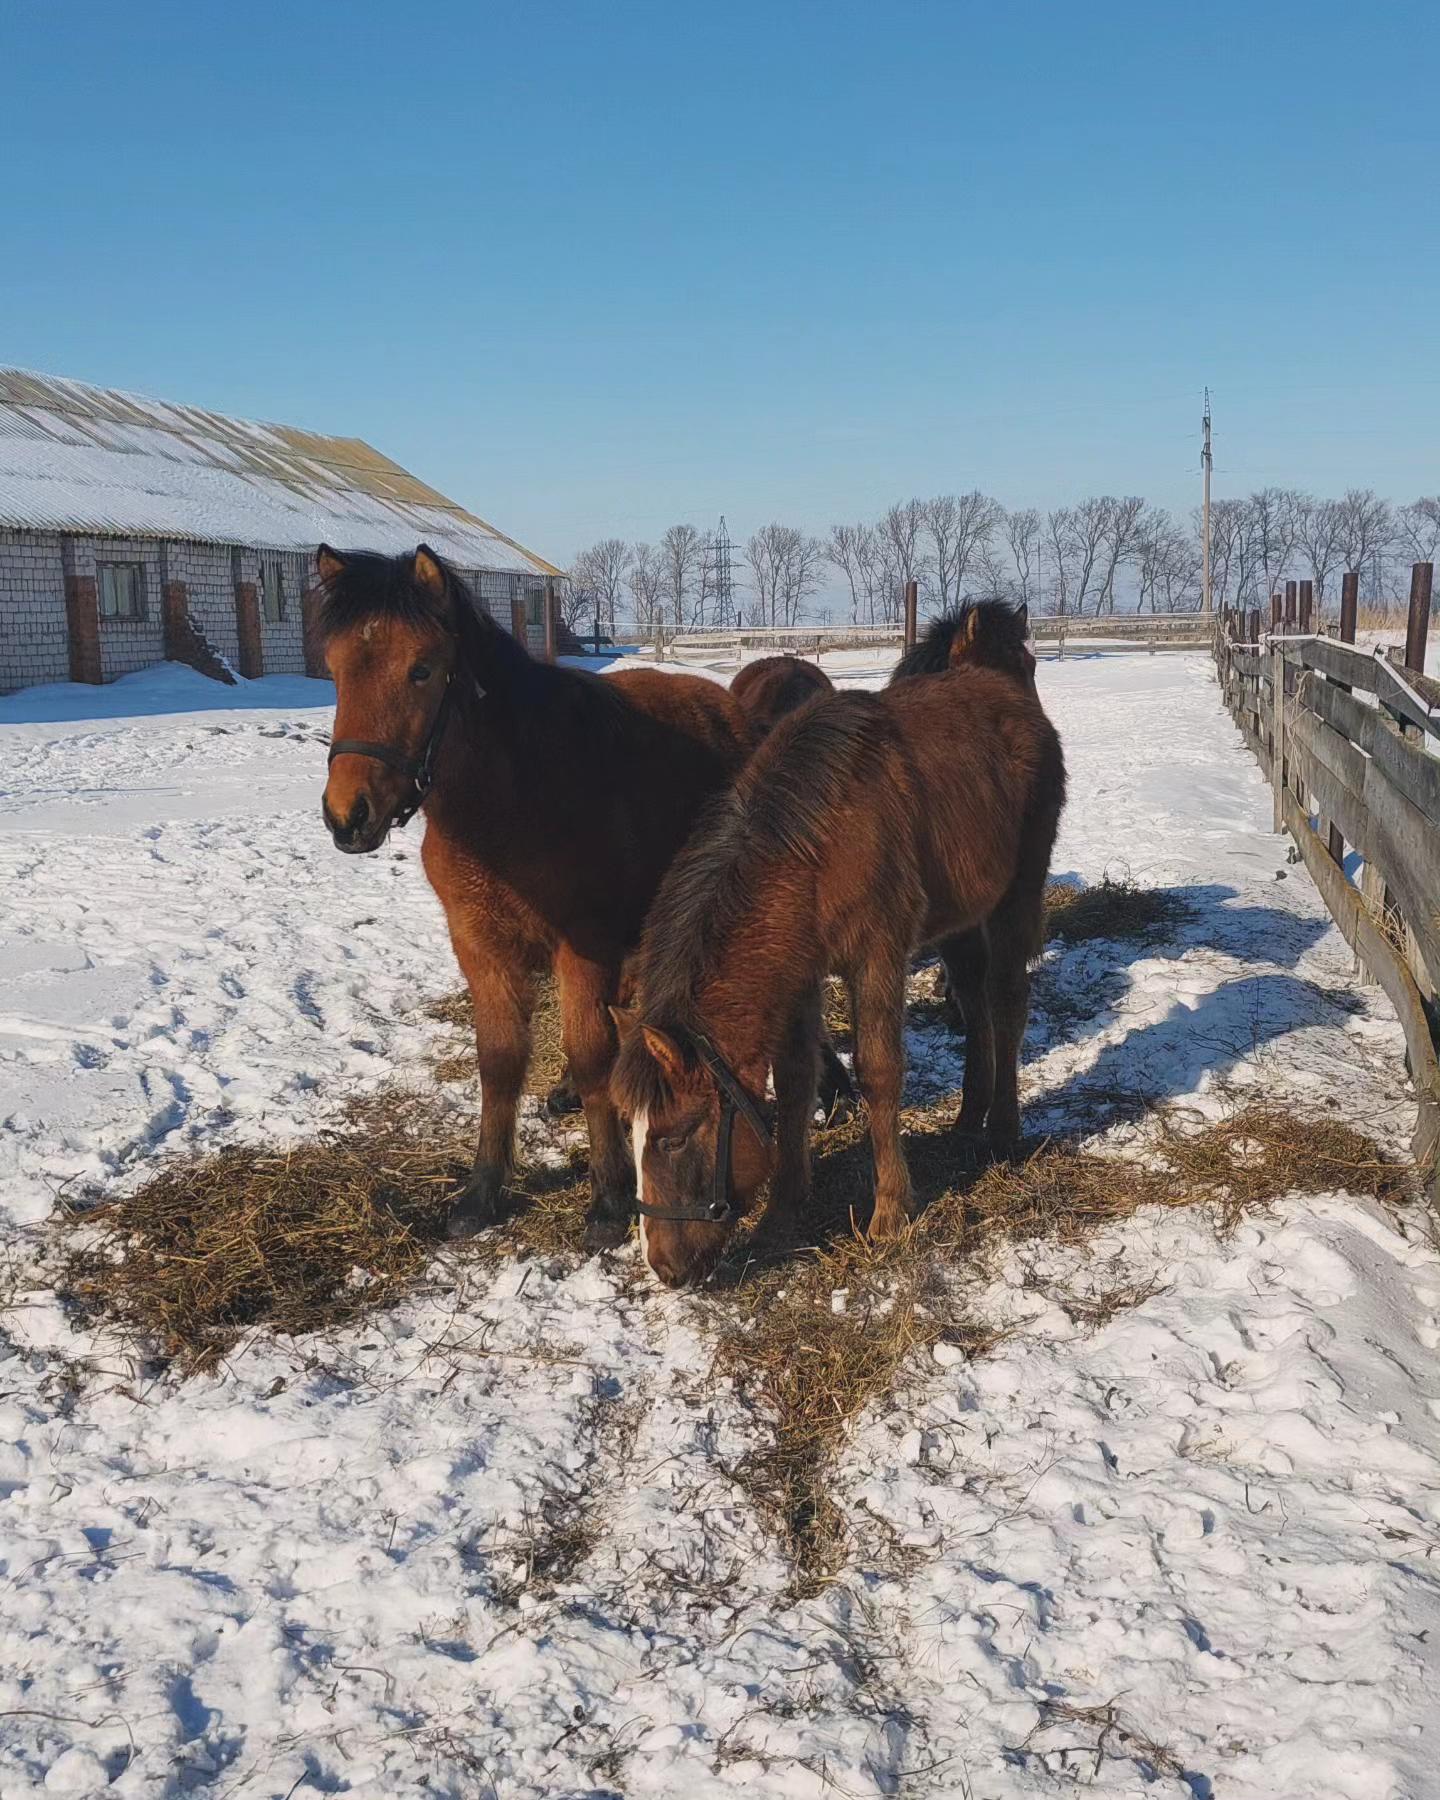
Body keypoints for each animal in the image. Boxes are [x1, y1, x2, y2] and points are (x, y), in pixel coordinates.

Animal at [612, 597, 1065, 1288]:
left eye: (673, 1135)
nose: (664, 1267)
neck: (812, 849)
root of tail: (1000, 688)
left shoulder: (876, 958)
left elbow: (879, 1072)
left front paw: (889, 1211)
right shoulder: (798, 972)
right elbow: (796, 1080)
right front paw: (781, 1214)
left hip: (1016, 895)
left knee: (1006, 1002)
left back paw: (1003, 1133)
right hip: (961, 920)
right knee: (974, 1001)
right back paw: (968, 1120)